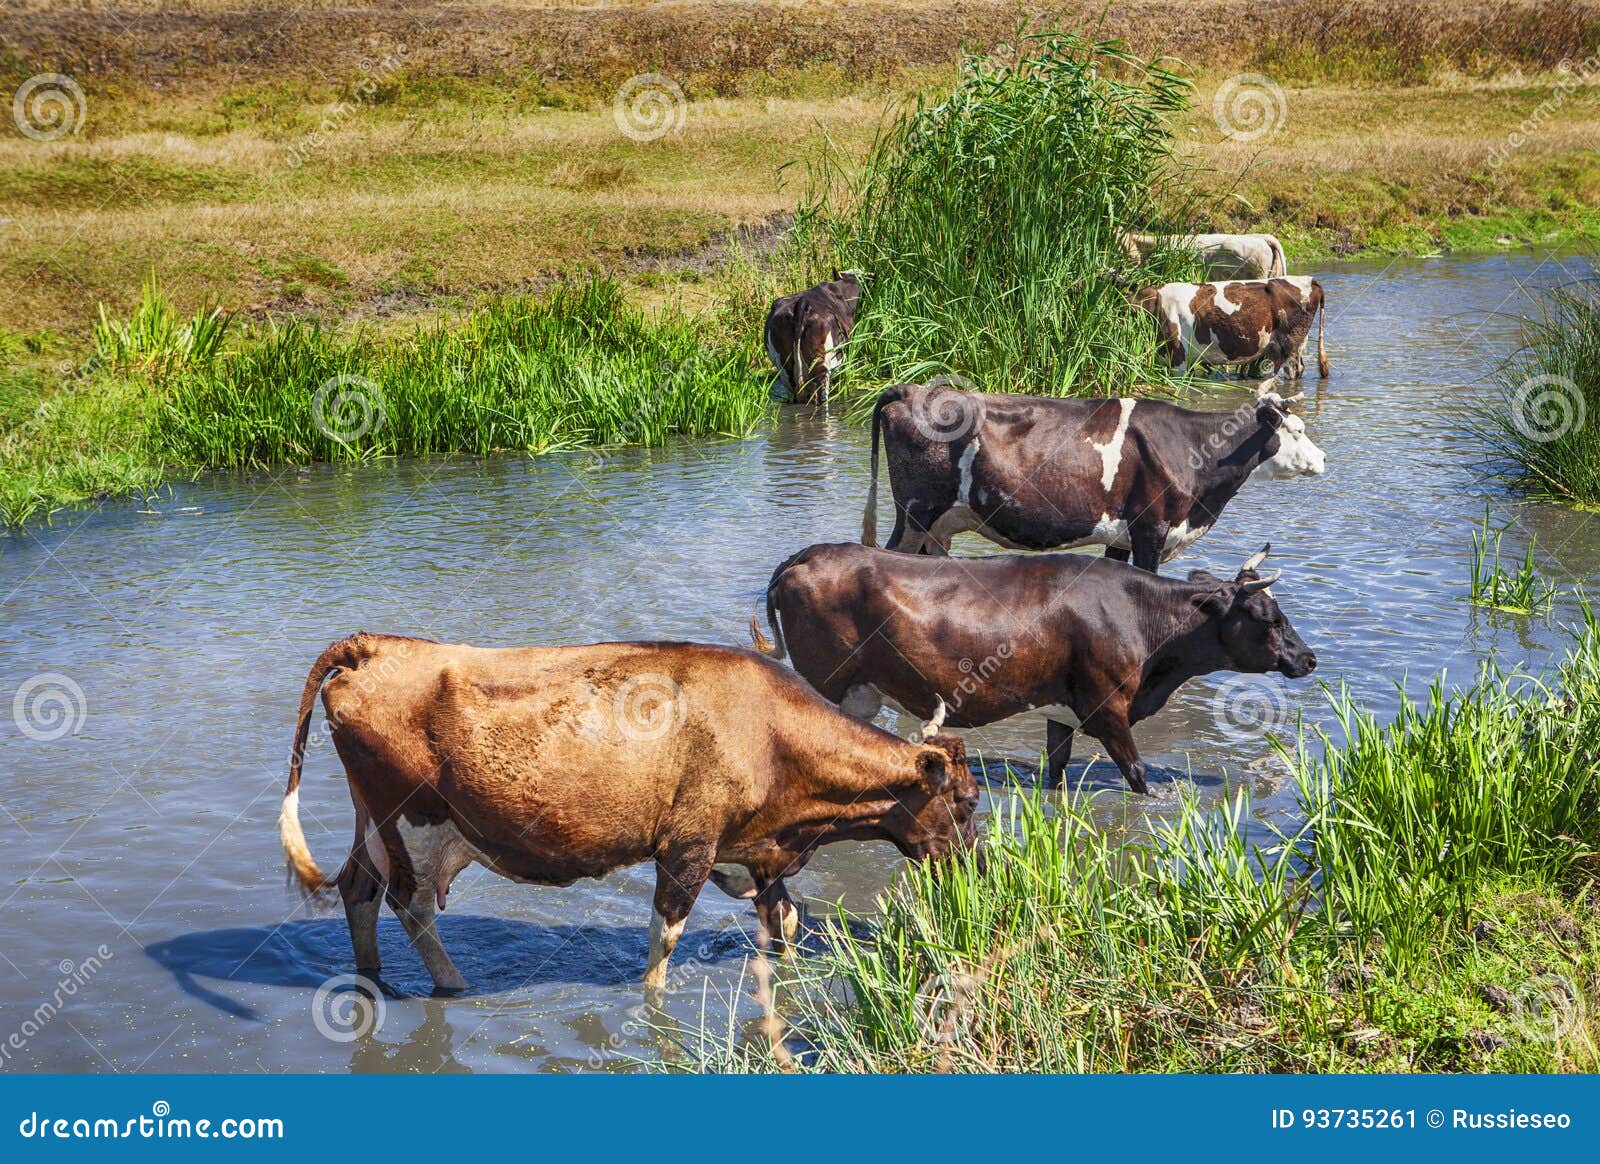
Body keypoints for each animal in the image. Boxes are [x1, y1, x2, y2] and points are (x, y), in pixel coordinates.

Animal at [278, 633, 977, 994]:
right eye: (968, 804)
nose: (972, 866)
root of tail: (379, 646)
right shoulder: (689, 846)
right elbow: (663, 941)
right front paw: (654, 1003)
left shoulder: (756, 851)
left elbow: (783, 920)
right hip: (413, 822)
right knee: (411, 905)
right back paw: (453, 985)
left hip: (373, 820)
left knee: (359, 889)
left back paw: (372, 976)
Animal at [750, 543, 1316, 793]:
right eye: (1270, 617)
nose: (1309, 659)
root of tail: (807, 555)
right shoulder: (1108, 707)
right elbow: (1137, 775)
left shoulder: (1059, 711)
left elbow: (1056, 769)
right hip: (825, 685)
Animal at [860, 380, 1325, 571]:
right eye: (1298, 429)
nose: (1322, 459)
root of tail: (916, 389)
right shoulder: (1151, 530)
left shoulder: (1121, 536)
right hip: (915, 512)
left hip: (941, 524)